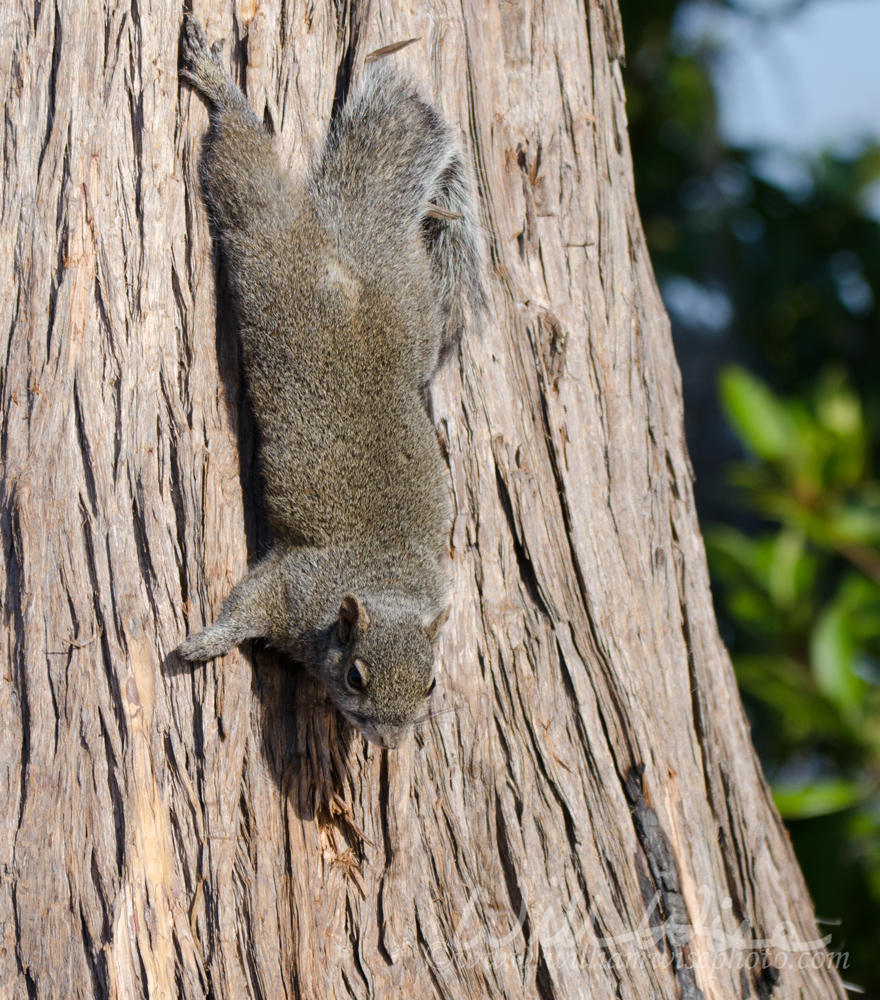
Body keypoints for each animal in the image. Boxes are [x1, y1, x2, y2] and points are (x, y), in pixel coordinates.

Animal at [177, 16, 485, 749]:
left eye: (432, 684)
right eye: (355, 677)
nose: (392, 743)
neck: (382, 583)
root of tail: (352, 244)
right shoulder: (295, 586)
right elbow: (248, 605)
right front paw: (207, 642)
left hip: (414, 302)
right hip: (272, 257)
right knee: (248, 179)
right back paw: (221, 90)